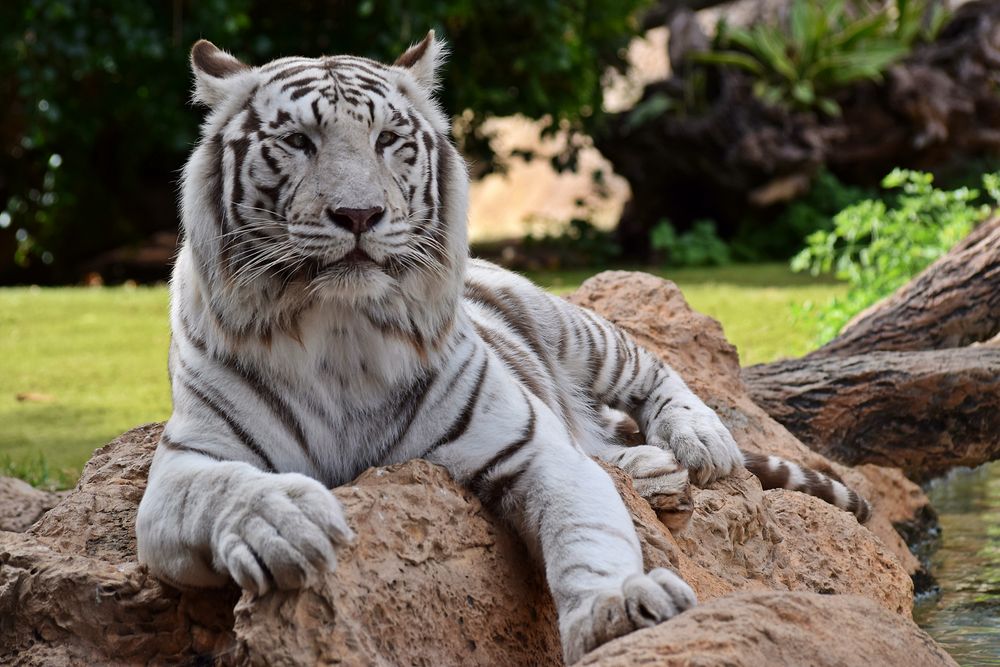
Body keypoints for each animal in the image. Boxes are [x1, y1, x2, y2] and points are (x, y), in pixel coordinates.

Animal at [135, 33, 871, 664]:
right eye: (298, 141)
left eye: (387, 139)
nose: (358, 215)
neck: (340, 335)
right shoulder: (182, 470)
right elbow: (226, 488)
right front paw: (285, 520)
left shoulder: (530, 447)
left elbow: (587, 533)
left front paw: (618, 608)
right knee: (605, 442)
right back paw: (647, 466)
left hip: (570, 327)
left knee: (649, 371)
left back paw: (697, 443)